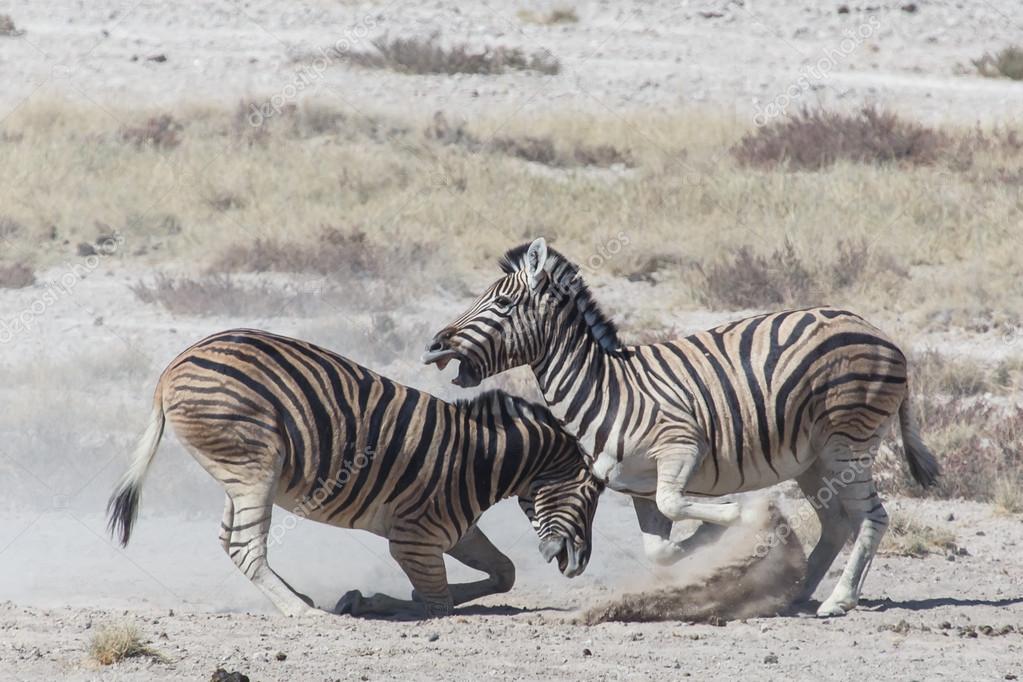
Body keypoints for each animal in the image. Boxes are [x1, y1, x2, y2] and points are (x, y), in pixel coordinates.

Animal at [107, 328, 602, 618]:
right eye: (590, 494)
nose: (579, 565)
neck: (484, 460)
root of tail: (174, 364)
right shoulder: (415, 539)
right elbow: (438, 604)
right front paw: (374, 601)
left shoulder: (451, 532)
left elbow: (504, 572)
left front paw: (377, 599)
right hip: (255, 468)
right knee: (246, 547)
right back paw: (303, 613)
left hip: (237, 473)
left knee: (231, 541)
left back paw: (302, 599)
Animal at [423, 238, 940, 617]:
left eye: (502, 303)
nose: (432, 346)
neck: (607, 389)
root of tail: (884, 337)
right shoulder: (639, 489)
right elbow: (661, 551)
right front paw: (714, 540)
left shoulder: (681, 447)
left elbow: (680, 505)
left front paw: (741, 519)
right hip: (813, 459)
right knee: (835, 523)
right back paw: (794, 593)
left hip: (846, 445)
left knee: (872, 517)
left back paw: (838, 600)